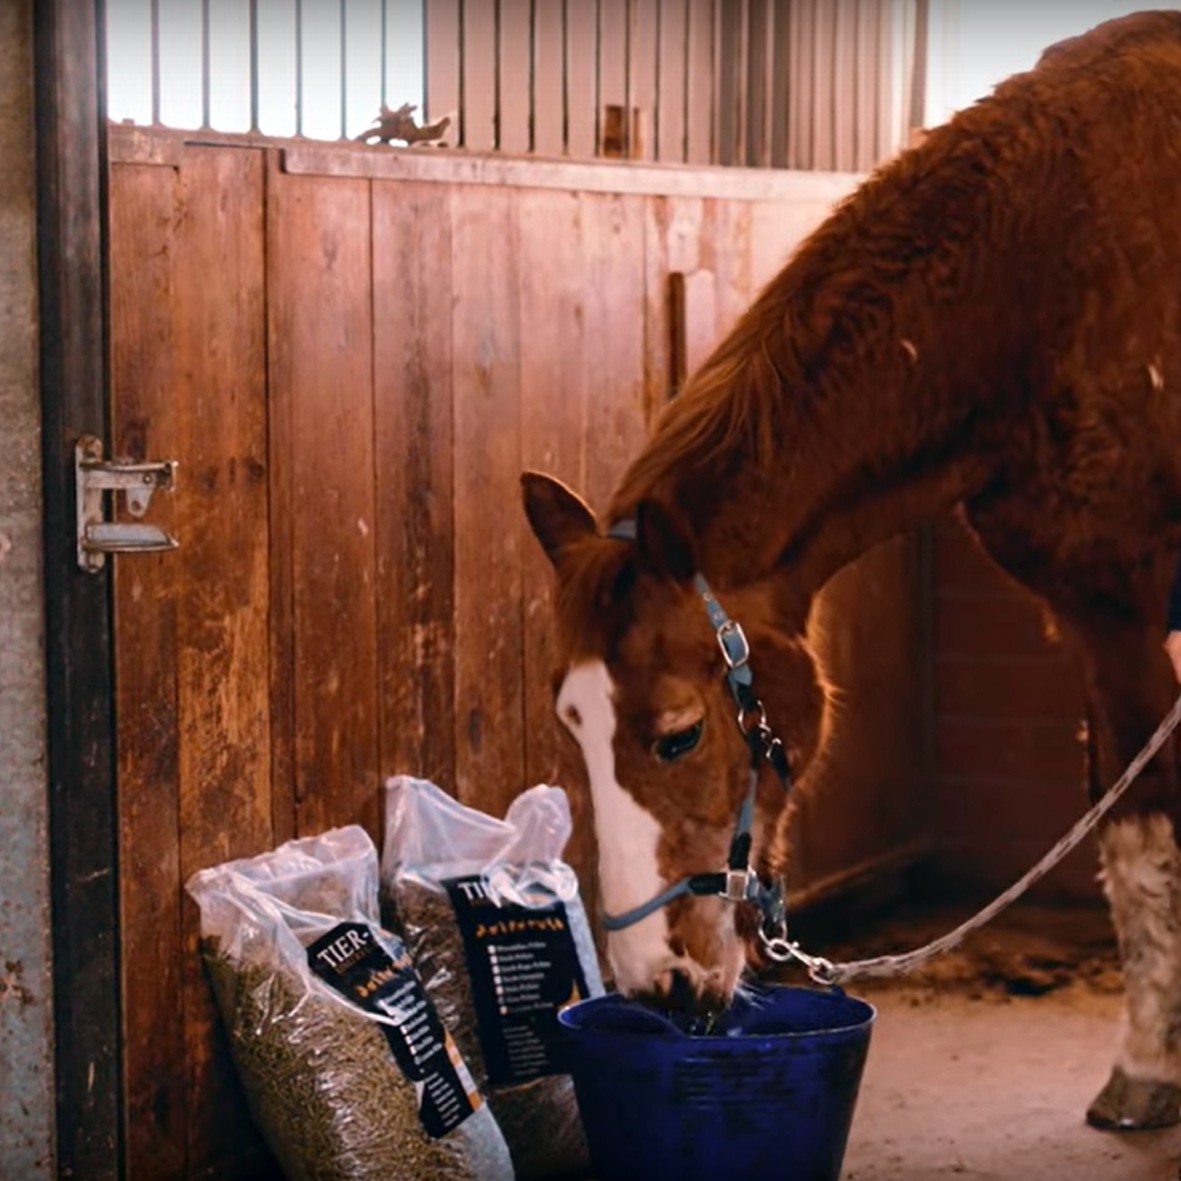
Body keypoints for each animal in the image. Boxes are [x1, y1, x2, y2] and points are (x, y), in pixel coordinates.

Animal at [523, 10, 1181, 1133]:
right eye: (569, 723)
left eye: (677, 733)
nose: (656, 985)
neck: (1055, 270)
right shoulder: (1089, 612)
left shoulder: (1128, 608)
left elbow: (1150, 833)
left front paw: (1147, 1064)